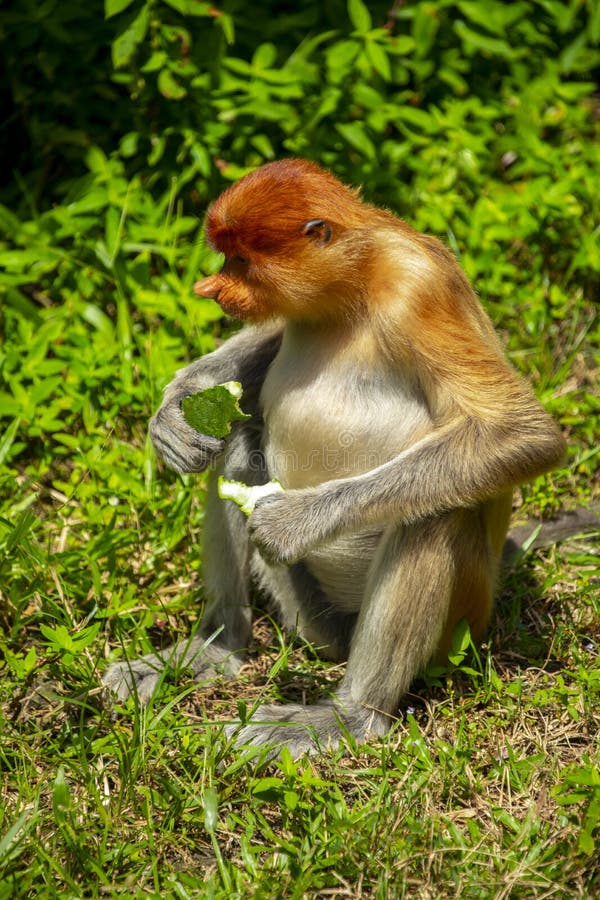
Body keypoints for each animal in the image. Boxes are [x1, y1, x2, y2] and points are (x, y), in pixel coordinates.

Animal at [103, 158, 567, 758]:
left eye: (241, 261)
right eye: (225, 256)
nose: (209, 288)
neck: (354, 286)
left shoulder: (418, 289)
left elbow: (519, 433)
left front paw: (293, 522)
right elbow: (269, 343)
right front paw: (174, 413)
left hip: (460, 626)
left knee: (437, 513)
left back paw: (350, 715)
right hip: (309, 612)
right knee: (236, 448)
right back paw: (219, 646)